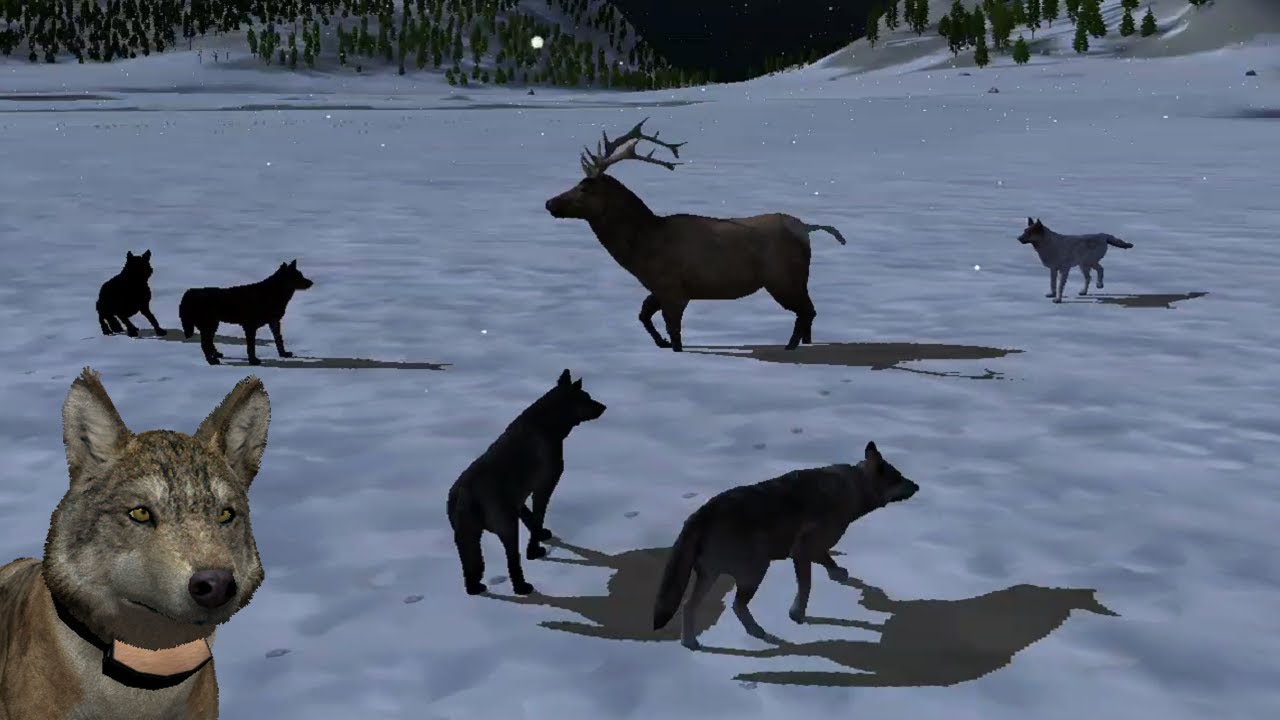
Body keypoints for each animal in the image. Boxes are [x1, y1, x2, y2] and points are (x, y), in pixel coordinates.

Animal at [178, 259, 314, 366]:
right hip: (209, 325)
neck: (271, 293)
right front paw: (253, 361)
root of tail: (190, 293)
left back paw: (216, 355)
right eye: (297, 276)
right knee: (204, 344)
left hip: (213, 325)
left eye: (301, 274)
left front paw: (283, 354)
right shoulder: (250, 326)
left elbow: (279, 339)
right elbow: (251, 346)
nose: (311, 283)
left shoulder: (274, 322)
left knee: (209, 342)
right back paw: (212, 361)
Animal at [447, 369, 607, 597]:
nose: (603, 406)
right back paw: (522, 587)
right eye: (586, 398)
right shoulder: (543, 488)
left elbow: (530, 518)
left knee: (471, 566)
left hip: (466, 537)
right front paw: (534, 550)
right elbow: (537, 517)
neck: (547, 423)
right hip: (507, 527)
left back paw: (476, 587)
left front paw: (541, 535)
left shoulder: (520, 497)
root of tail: (465, 494)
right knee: (512, 560)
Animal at [652, 441, 920, 650]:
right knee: (736, 606)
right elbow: (806, 586)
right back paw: (757, 632)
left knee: (688, 605)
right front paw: (797, 614)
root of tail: (700, 515)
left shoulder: (811, 549)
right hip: (755, 571)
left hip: (711, 576)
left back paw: (690, 643)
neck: (852, 487)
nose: (917, 486)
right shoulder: (802, 550)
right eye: (898, 477)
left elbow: (829, 563)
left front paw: (838, 575)